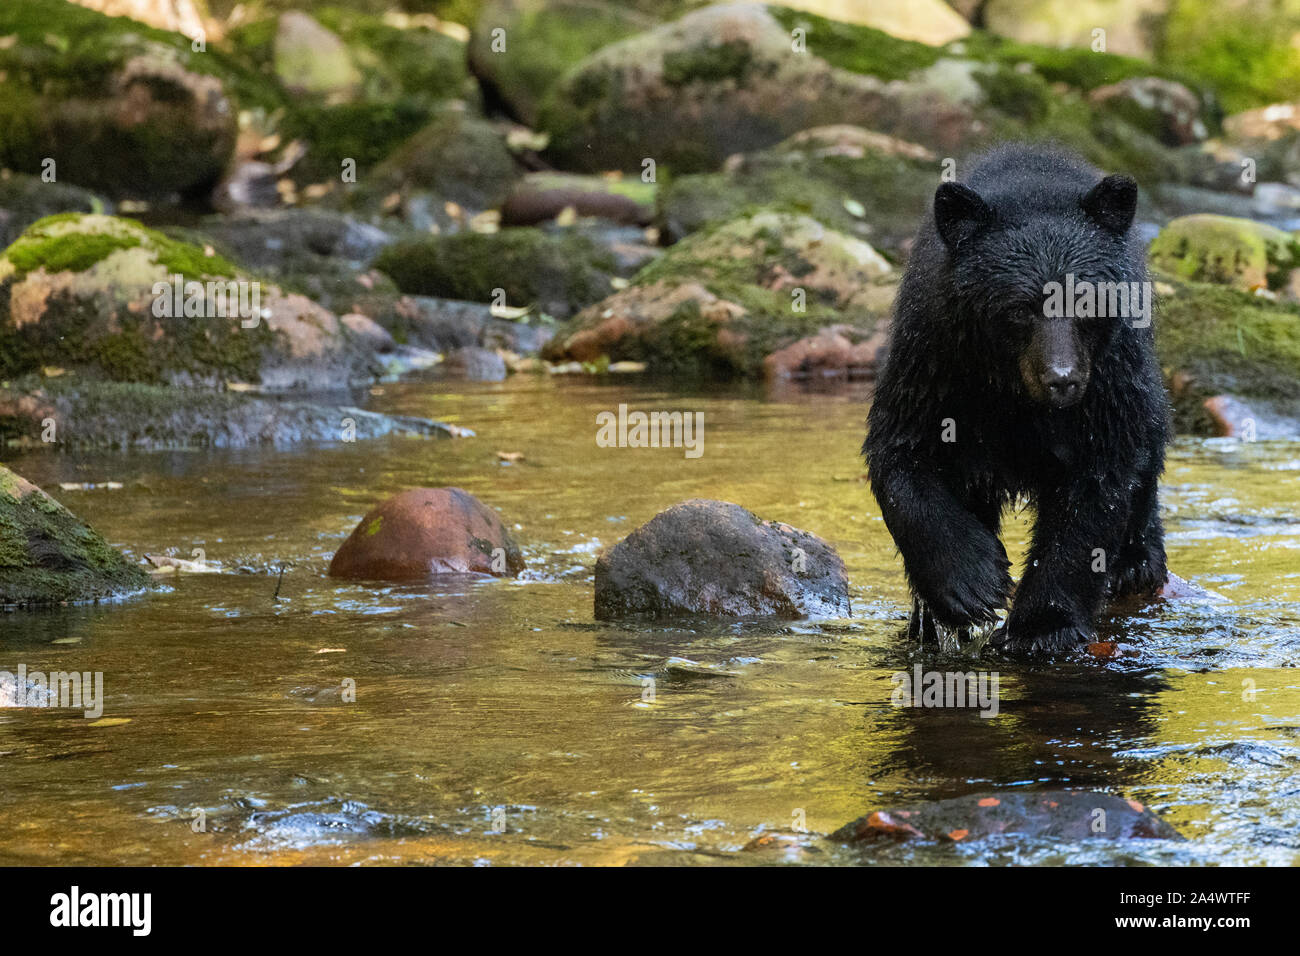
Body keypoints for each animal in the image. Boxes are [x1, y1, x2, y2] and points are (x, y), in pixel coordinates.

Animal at [863, 143, 1171, 654]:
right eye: (1020, 308)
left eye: (1085, 300)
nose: (1062, 379)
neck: (1015, 394)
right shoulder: (935, 360)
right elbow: (903, 453)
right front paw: (971, 584)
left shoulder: (1108, 378)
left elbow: (1098, 484)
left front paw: (1042, 627)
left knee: (1150, 439)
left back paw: (1138, 561)